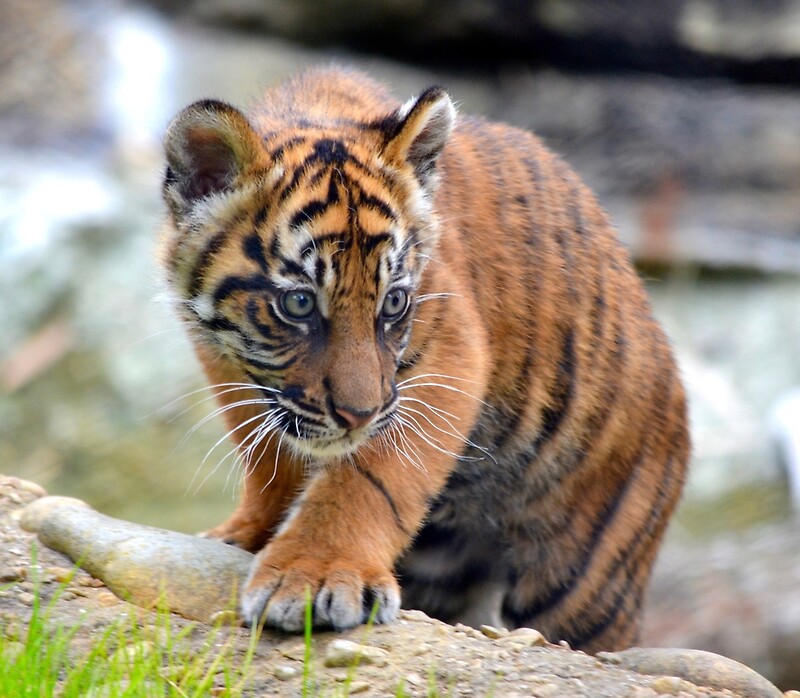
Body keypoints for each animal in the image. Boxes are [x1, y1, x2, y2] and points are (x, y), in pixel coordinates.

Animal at [159, 65, 689, 653]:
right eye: (298, 303)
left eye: (393, 302)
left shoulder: (450, 356)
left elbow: (368, 477)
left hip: (586, 574)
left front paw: (314, 573)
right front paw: (246, 534)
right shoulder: (230, 367)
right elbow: (269, 454)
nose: (358, 416)